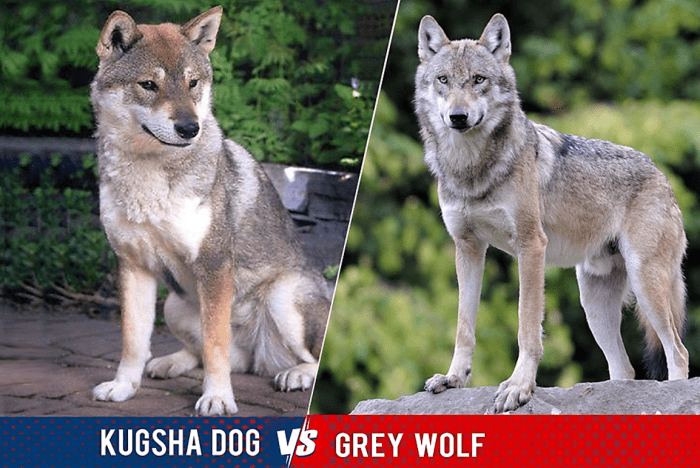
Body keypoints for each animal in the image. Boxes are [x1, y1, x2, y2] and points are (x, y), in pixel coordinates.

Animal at [90, 7, 331, 416]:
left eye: (192, 84)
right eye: (148, 85)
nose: (190, 128)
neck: (149, 173)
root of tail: (257, 357)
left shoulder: (215, 265)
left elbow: (216, 345)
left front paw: (217, 398)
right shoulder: (133, 265)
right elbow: (133, 341)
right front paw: (123, 387)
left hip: (282, 298)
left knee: (305, 358)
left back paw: (294, 375)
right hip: (174, 304)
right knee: (204, 353)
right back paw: (169, 363)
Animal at [414, 13, 688, 413]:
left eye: (478, 79)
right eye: (443, 80)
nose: (458, 116)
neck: (472, 171)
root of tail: (663, 177)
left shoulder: (531, 246)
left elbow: (527, 327)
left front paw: (519, 387)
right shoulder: (467, 247)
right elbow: (464, 326)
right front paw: (453, 379)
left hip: (646, 284)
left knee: (678, 354)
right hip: (593, 304)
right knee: (624, 371)